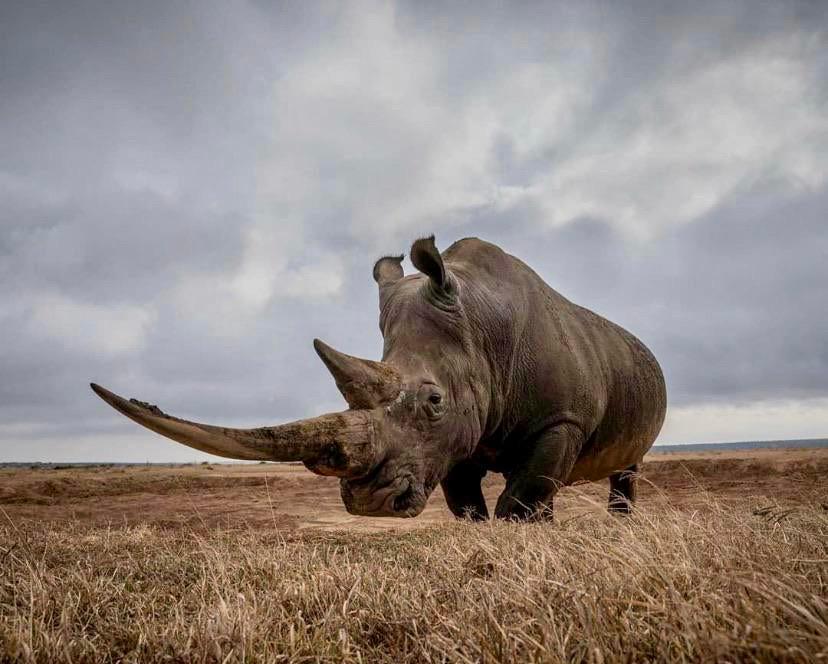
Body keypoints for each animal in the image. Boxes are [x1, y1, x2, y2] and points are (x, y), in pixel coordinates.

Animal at [91, 236, 666, 520]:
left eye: (433, 400)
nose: (371, 506)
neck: (481, 328)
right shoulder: (459, 432)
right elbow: (471, 506)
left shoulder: (561, 419)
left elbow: (519, 502)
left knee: (626, 468)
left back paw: (621, 527)